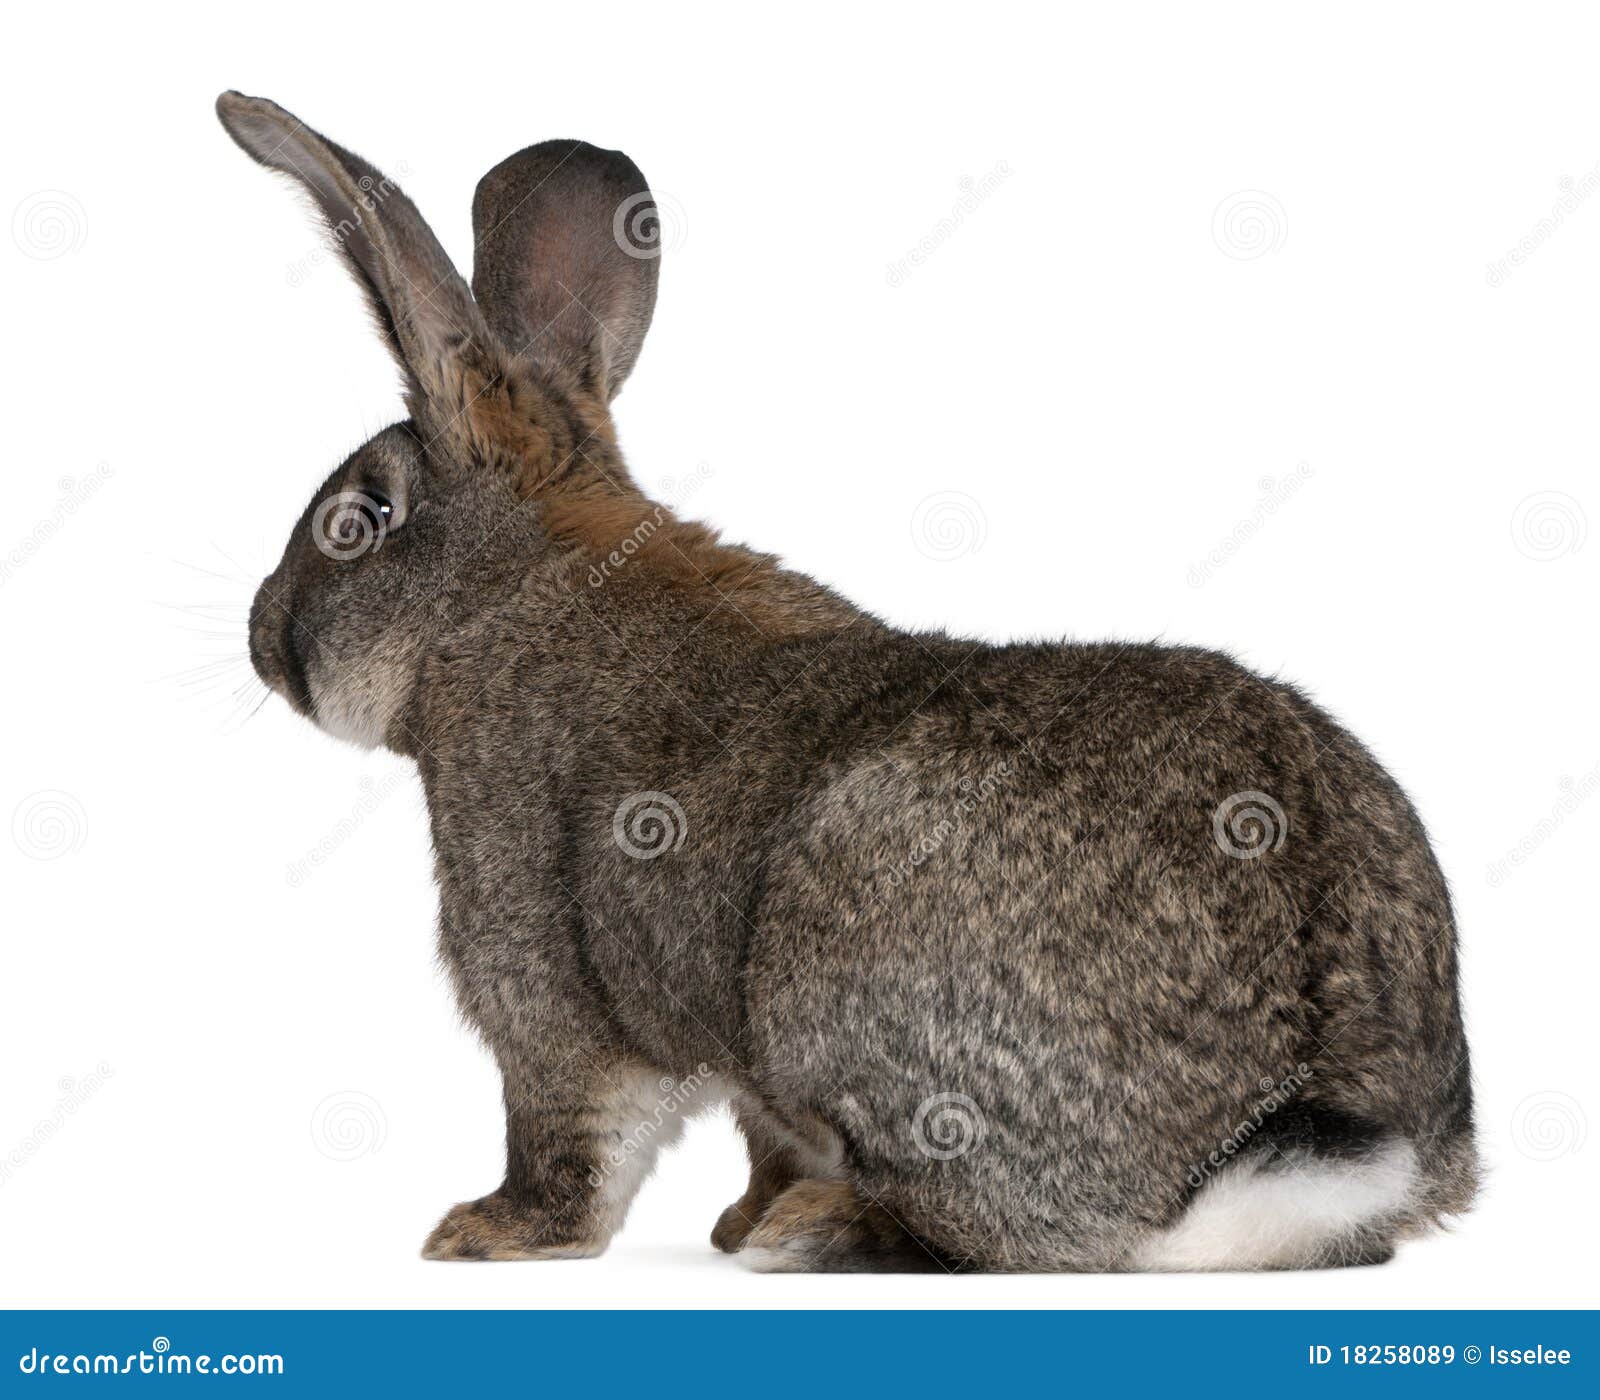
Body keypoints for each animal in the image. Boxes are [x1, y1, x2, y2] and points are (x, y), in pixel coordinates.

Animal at [218, 91, 1477, 1272]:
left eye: (360, 516)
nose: (262, 639)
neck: (504, 590)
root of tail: (1308, 1127)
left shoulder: (540, 977)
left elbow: (571, 1136)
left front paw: (485, 1230)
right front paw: (730, 1213)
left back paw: (817, 1229)